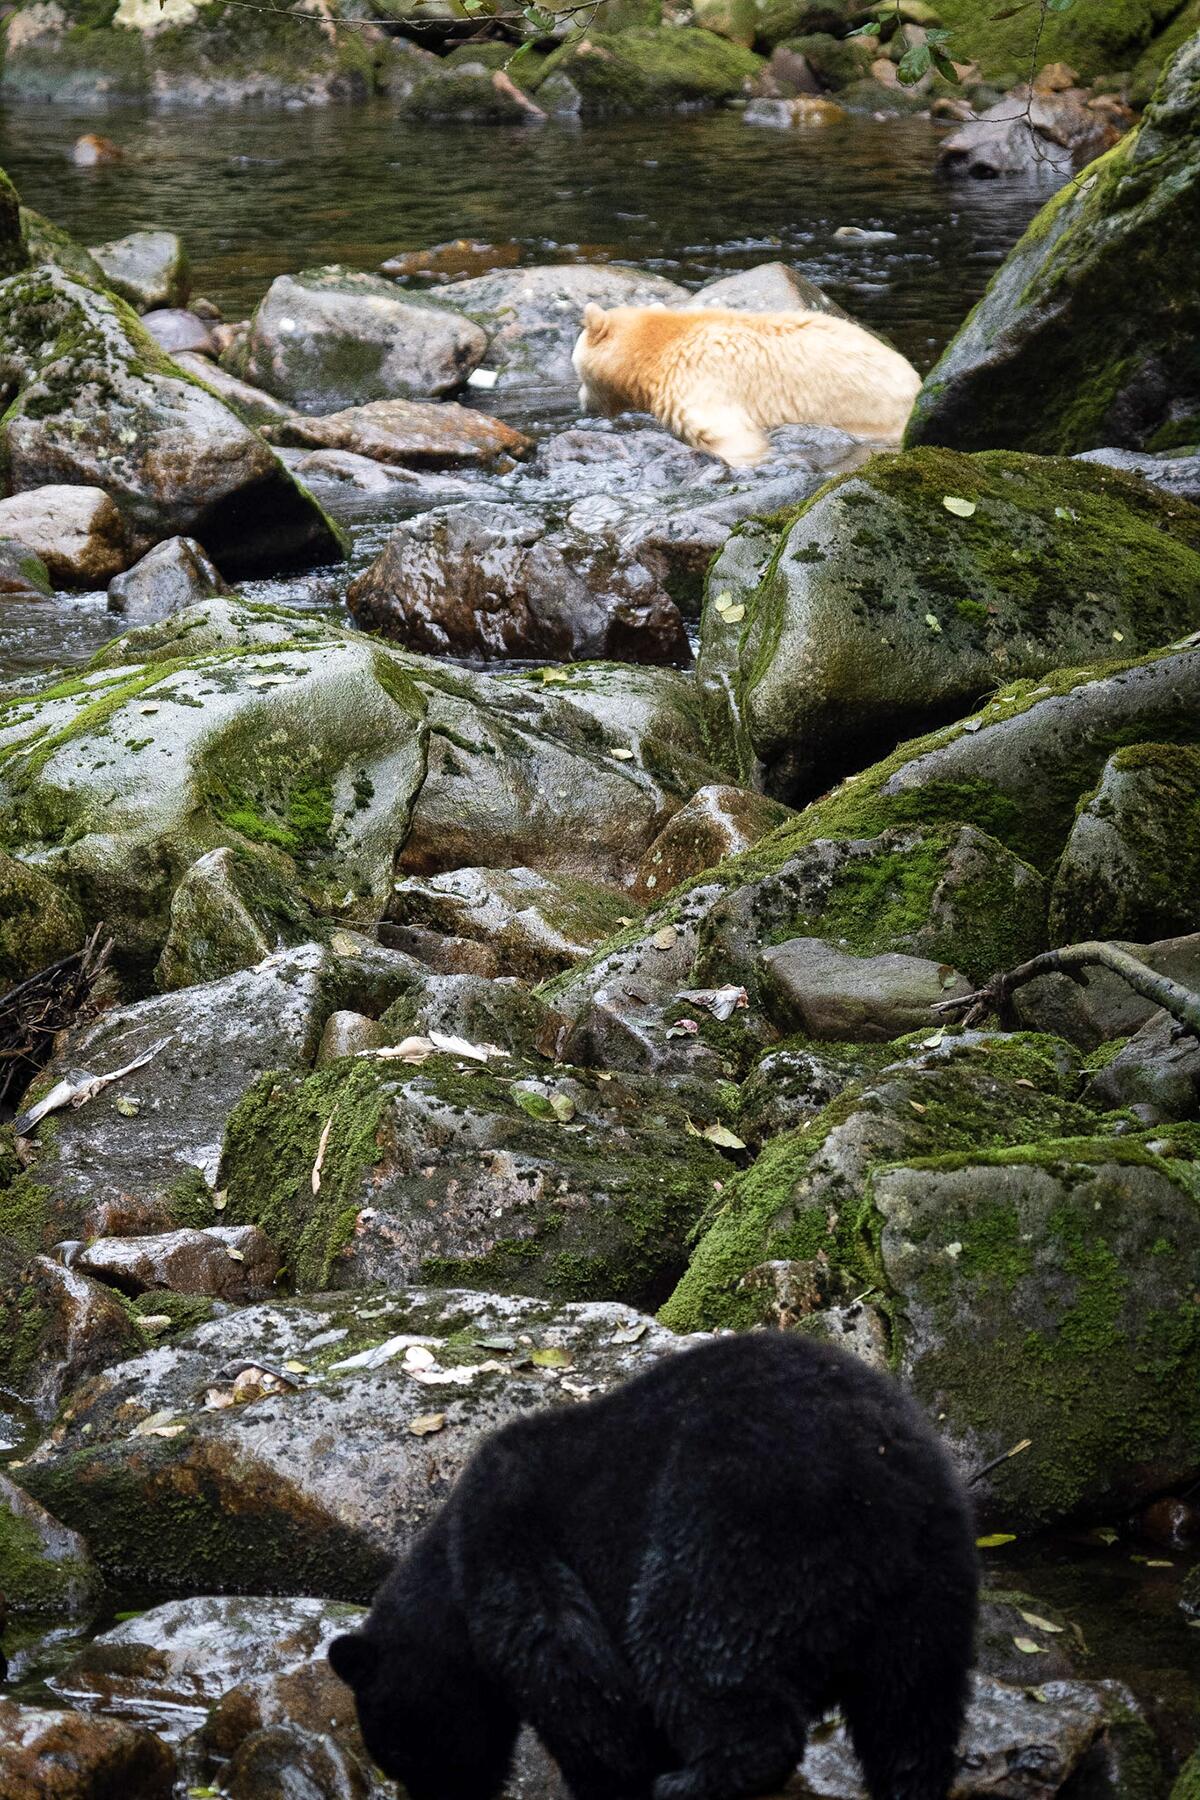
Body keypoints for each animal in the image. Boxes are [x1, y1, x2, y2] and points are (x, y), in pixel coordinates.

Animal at [328, 1331, 978, 1800]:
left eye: (398, 1750)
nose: (432, 1798)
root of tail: (884, 1477)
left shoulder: (511, 1544)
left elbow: (577, 1682)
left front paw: (620, 1777)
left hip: (738, 1519)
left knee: (690, 1640)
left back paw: (691, 1782)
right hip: (931, 1586)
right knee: (911, 1715)